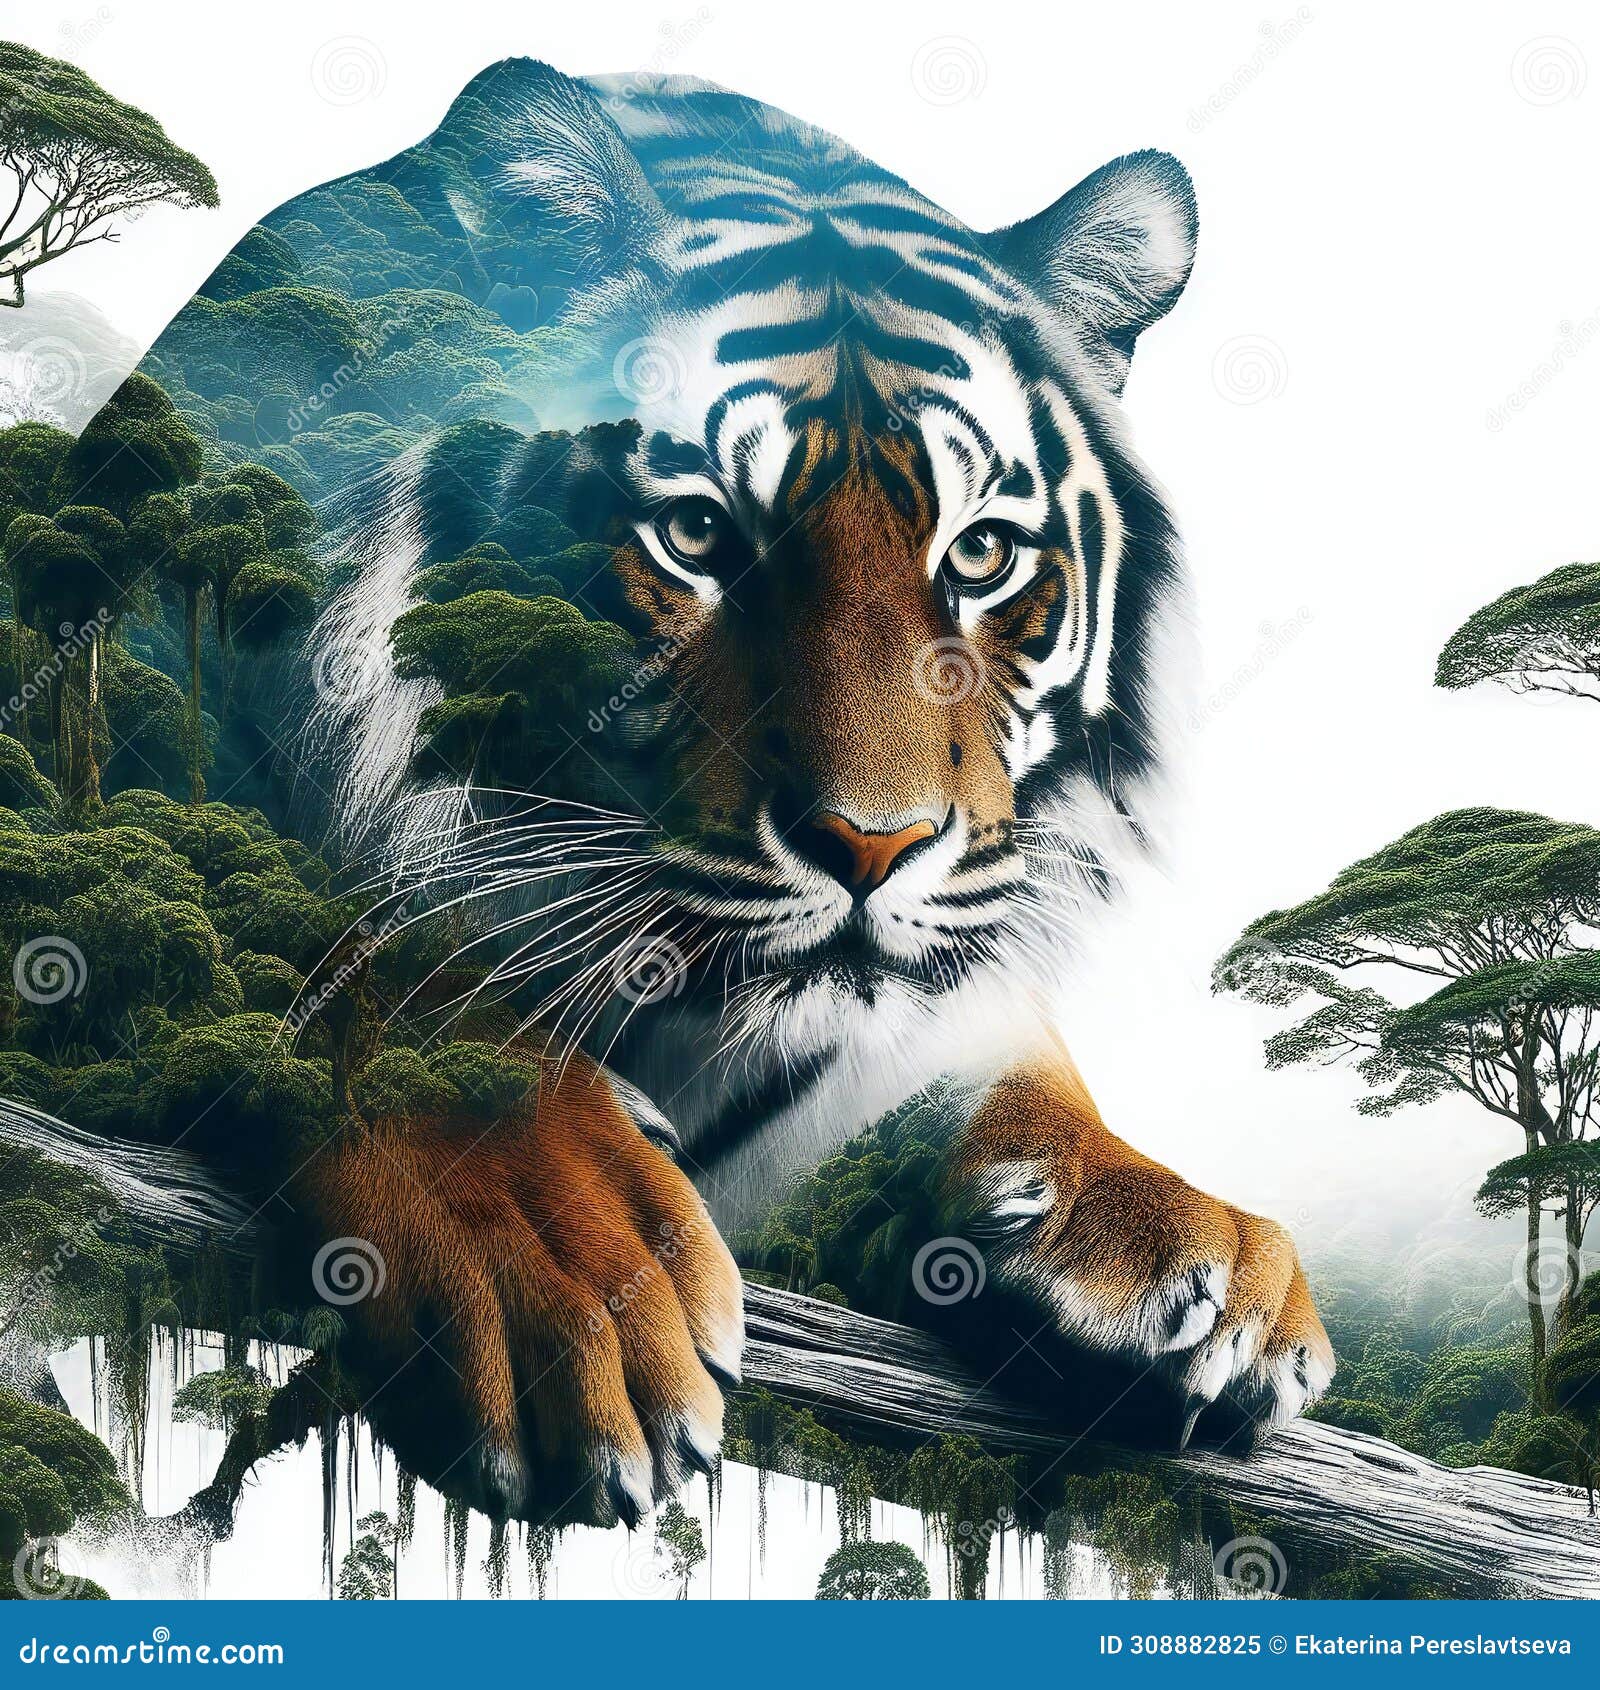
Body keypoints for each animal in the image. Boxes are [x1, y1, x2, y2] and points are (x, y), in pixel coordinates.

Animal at [132, 60, 1334, 1527]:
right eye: (698, 533)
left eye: (982, 554)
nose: (873, 847)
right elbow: (345, 944)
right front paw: (570, 1268)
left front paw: (1182, 1238)